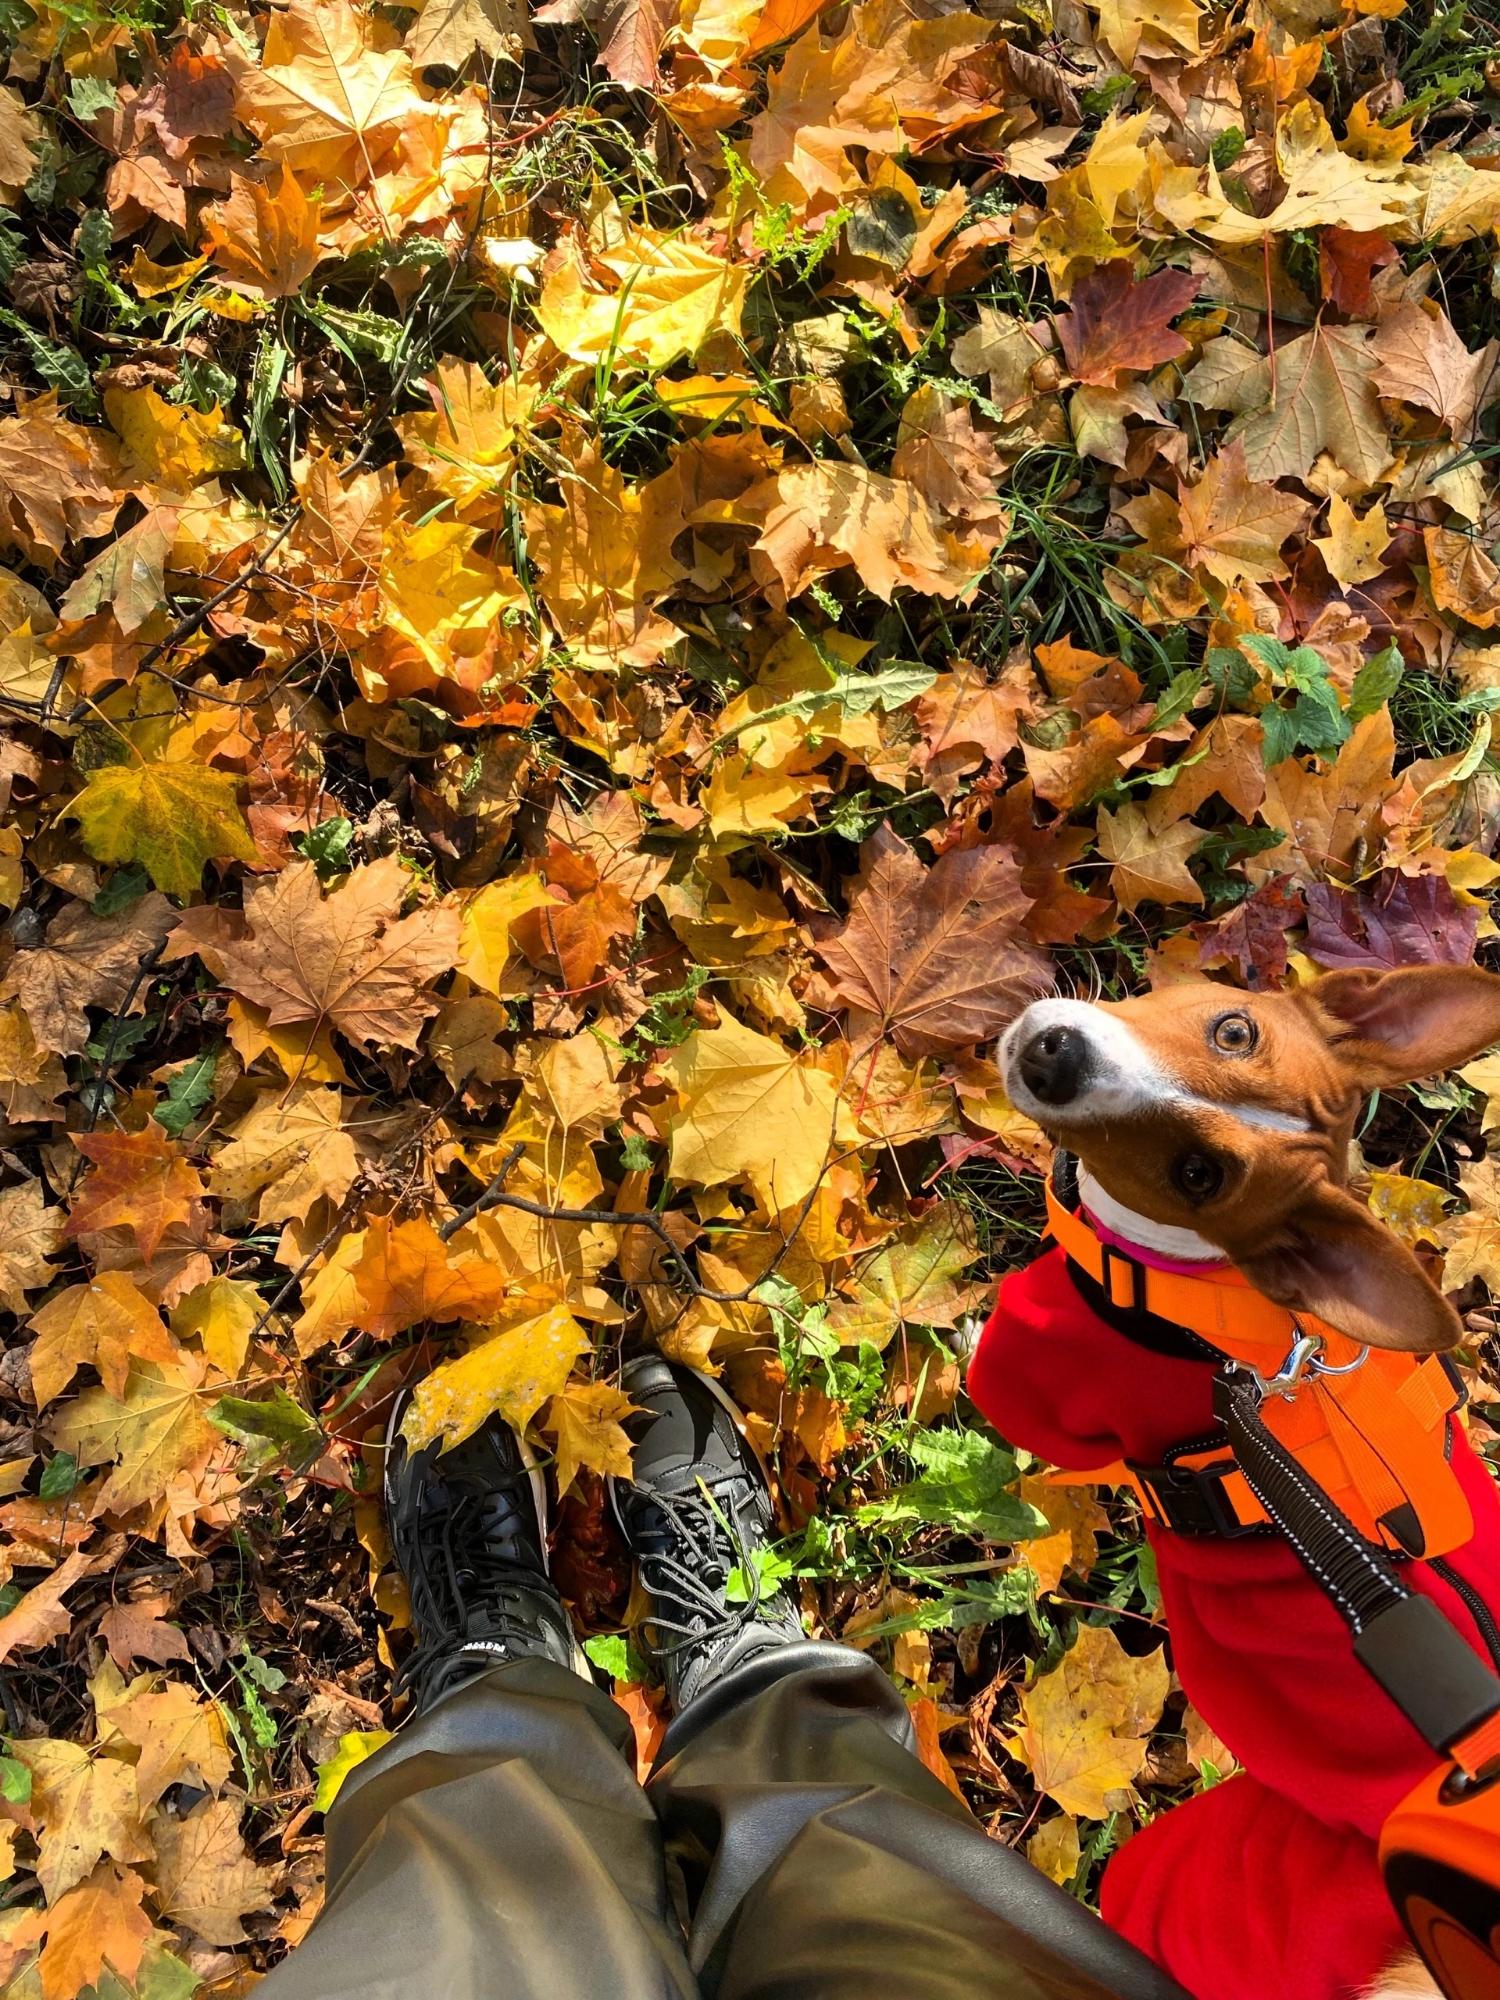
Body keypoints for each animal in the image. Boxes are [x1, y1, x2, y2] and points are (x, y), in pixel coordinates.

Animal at [976, 968, 1500, 2000]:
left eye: (1200, 1177)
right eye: (1233, 1028)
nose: (1058, 1057)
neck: (1199, 1292)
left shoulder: (1032, 1373)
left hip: (1194, 1887)